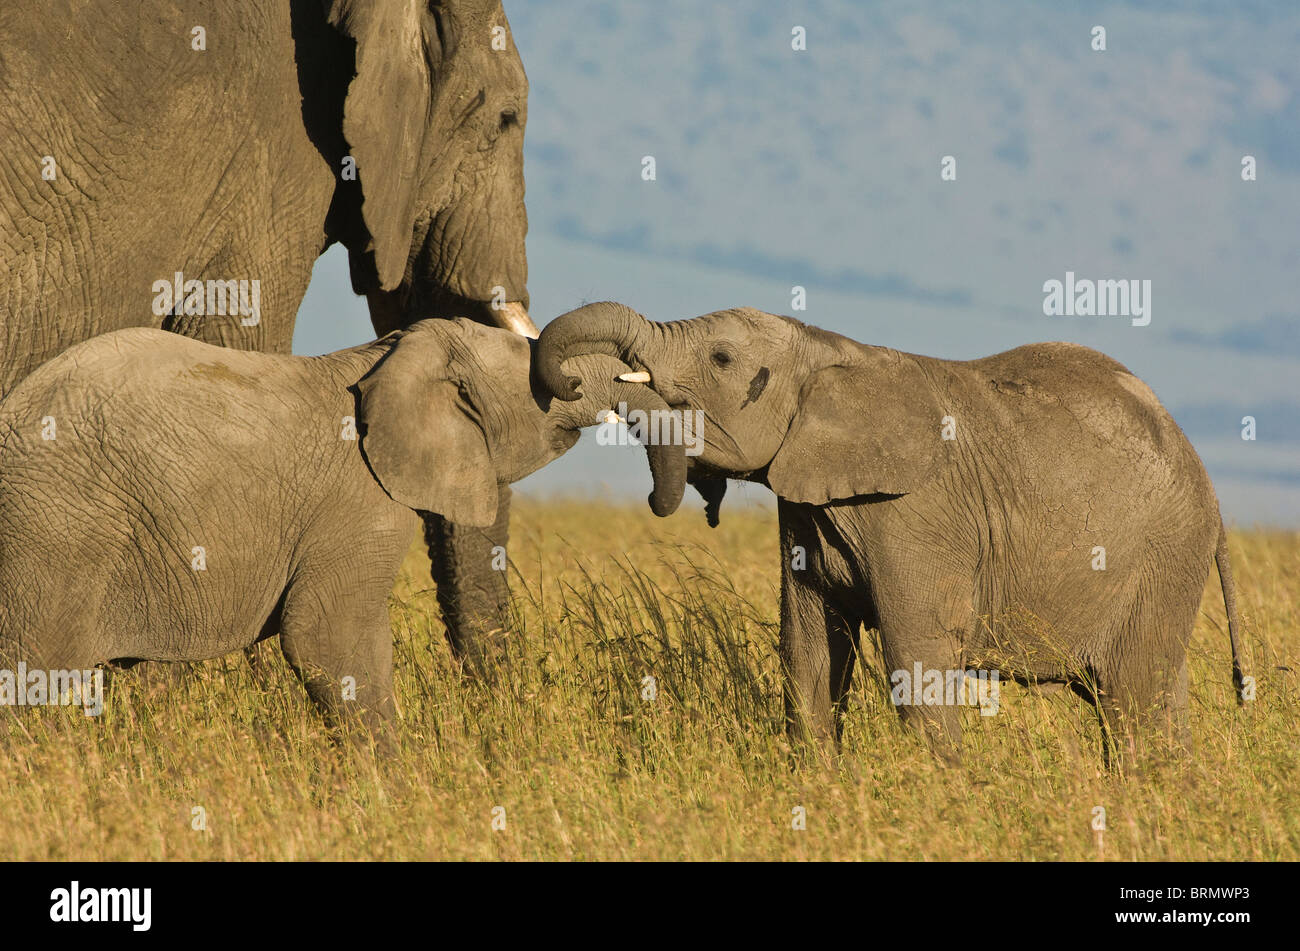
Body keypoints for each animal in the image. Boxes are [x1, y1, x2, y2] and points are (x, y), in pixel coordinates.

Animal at [0, 318, 681, 733]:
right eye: (548, 382)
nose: (655, 501)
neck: (391, 353)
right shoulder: (360, 499)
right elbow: (328, 637)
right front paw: (392, 794)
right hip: (59, 533)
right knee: (34, 681)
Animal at [535, 302, 1247, 764]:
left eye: (721, 357)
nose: (567, 382)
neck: (827, 352)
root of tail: (1206, 480)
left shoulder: (916, 514)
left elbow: (916, 649)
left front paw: (943, 795)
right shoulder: (806, 505)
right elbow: (809, 644)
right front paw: (816, 786)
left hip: (1163, 553)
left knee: (1132, 697)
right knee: (1163, 695)